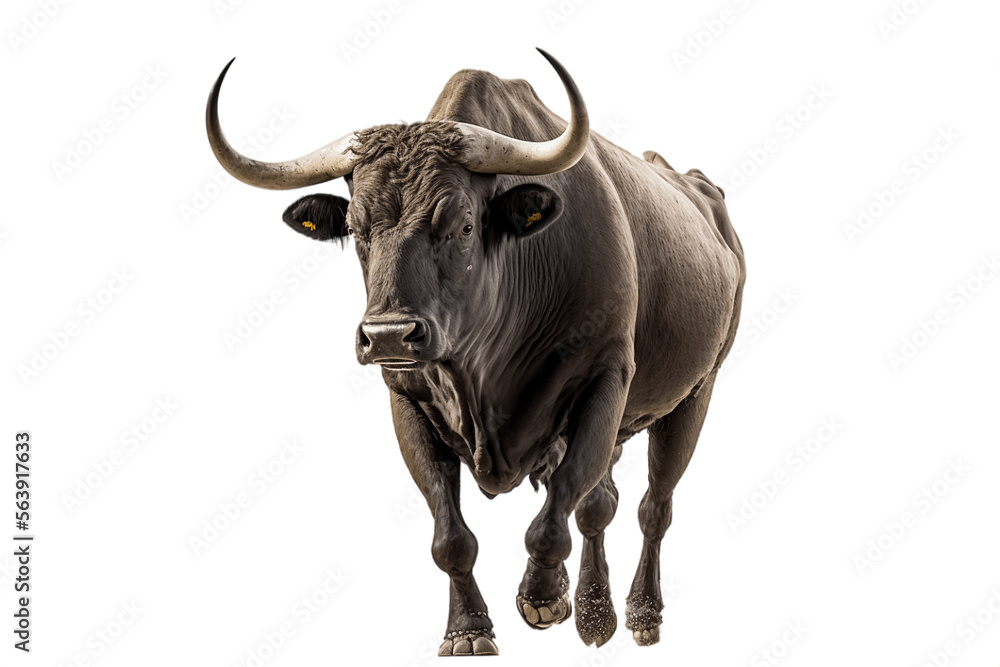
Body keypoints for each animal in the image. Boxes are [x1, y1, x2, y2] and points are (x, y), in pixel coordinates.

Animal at [206, 49, 745, 655]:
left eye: (464, 225)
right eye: (356, 228)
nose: (388, 334)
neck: (480, 375)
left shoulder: (606, 381)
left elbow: (559, 509)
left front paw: (541, 596)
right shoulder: (406, 398)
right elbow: (451, 536)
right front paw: (468, 628)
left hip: (695, 393)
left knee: (651, 508)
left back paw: (637, 612)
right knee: (599, 505)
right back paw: (592, 612)